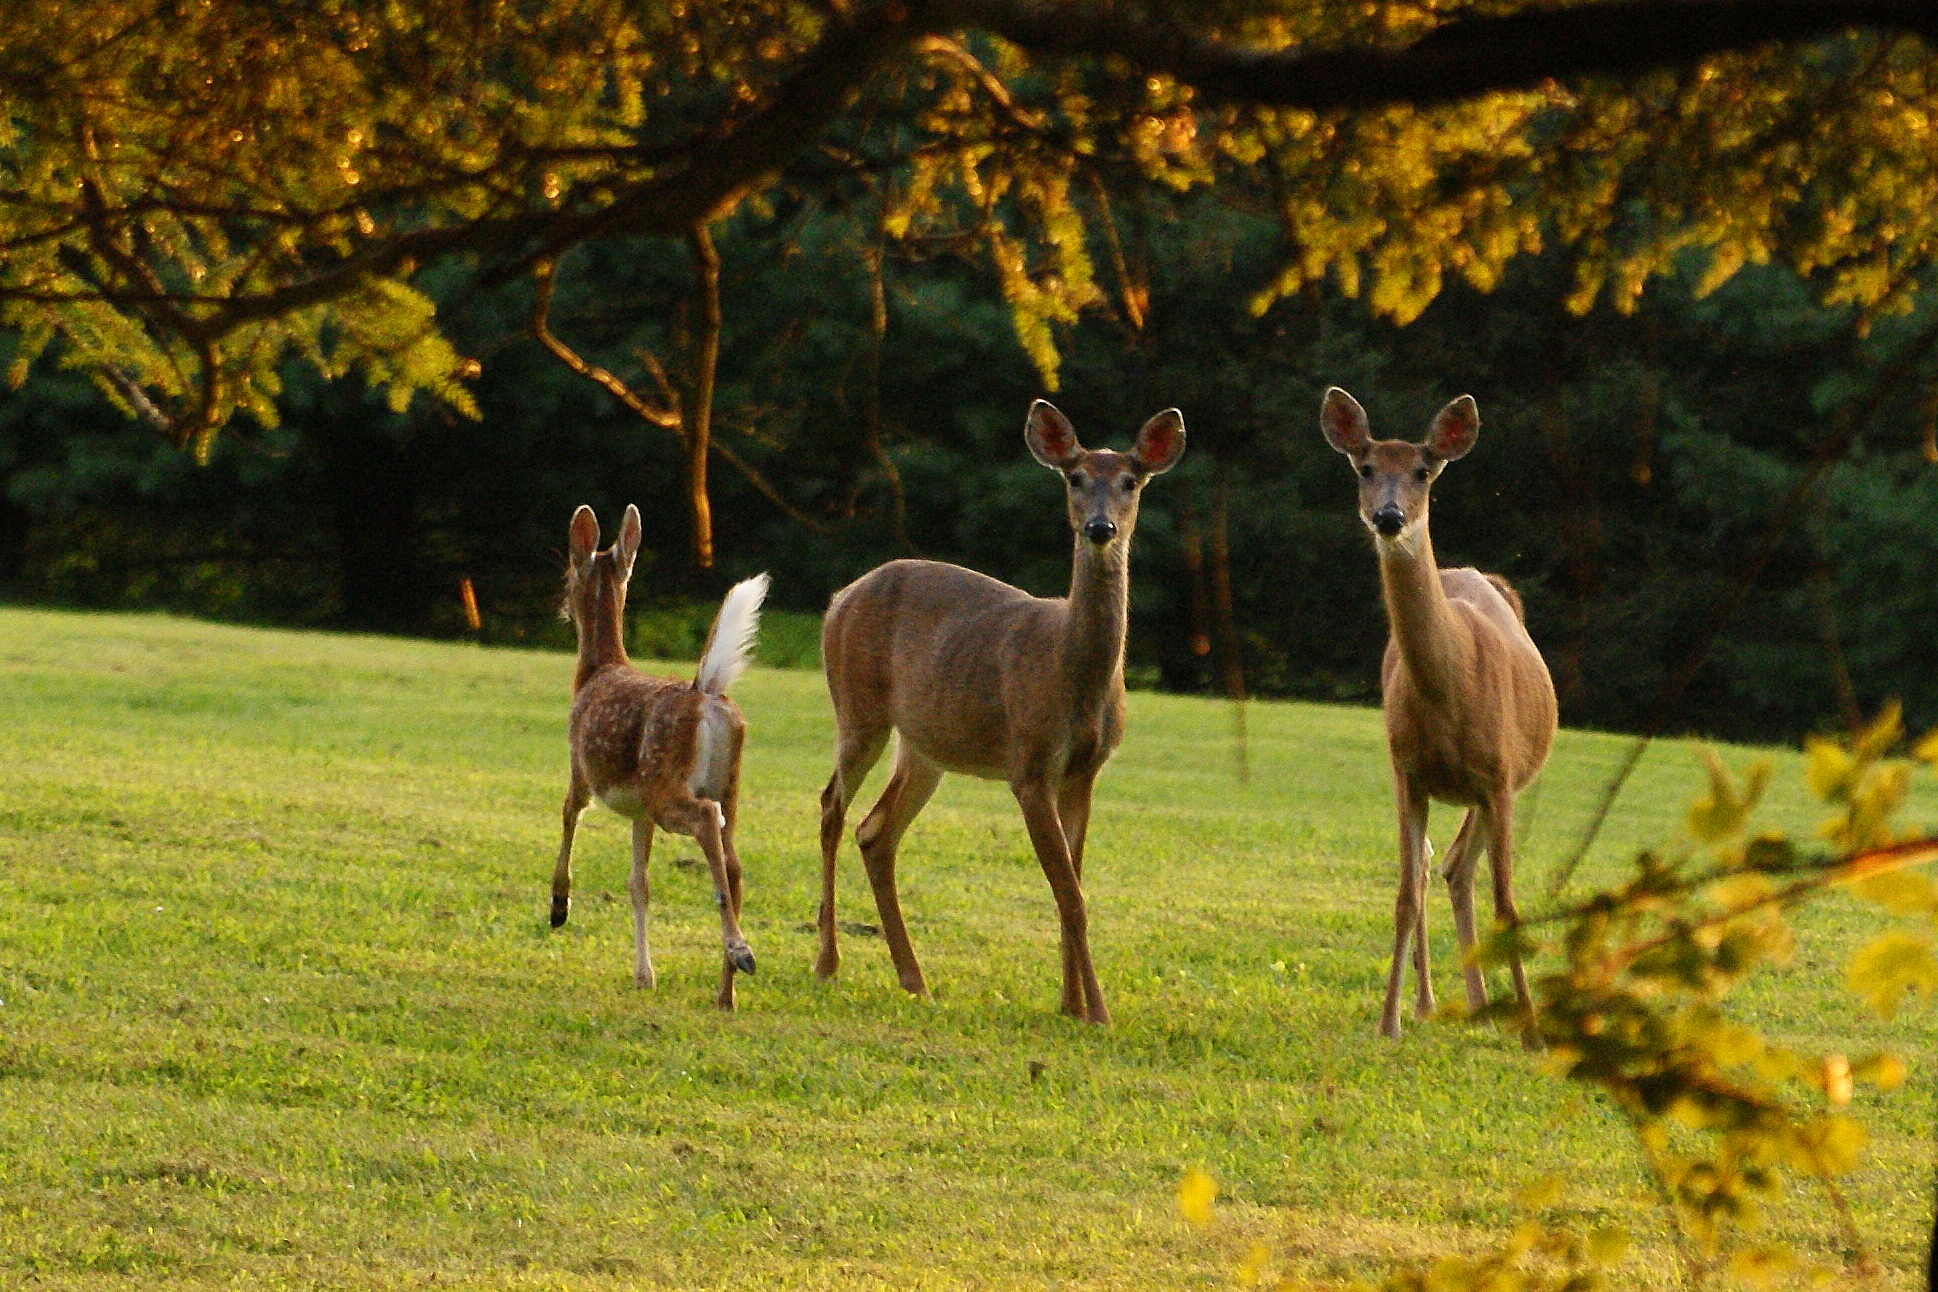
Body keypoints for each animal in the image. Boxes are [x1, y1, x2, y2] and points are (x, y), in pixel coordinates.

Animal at [551, 503, 769, 1011]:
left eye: (567, 572)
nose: (561, 607)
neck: (595, 673)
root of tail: (705, 694)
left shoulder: (581, 768)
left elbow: (569, 815)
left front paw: (559, 905)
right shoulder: (638, 814)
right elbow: (639, 884)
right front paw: (644, 975)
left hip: (664, 784)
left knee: (706, 821)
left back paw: (740, 951)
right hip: (726, 786)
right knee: (733, 862)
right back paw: (726, 991)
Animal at [813, 400, 1186, 1025]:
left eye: (1130, 482)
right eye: (1074, 478)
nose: (1100, 528)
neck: (1074, 676)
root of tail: (839, 598)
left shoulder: (1085, 770)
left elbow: (1072, 886)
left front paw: (1070, 1005)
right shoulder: (1029, 765)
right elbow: (1071, 895)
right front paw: (1098, 1013)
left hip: (925, 746)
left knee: (875, 831)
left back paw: (915, 980)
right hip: (858, 706)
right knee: (831, 808)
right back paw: (827, 963)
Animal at [1320, 387, 1556, 1043]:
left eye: (1424, 471)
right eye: (1364, 468)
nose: (1389, 517)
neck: (1452, 690)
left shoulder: (1500, 777)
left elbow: (1509, 905)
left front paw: (1533, 1031)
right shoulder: (1408, 772)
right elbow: (1404, 892)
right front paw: (1388, 1022)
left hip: (1501, 785)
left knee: (1457, 868)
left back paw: (1482, 1005)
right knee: (1438, 868)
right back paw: (1439, 1003)